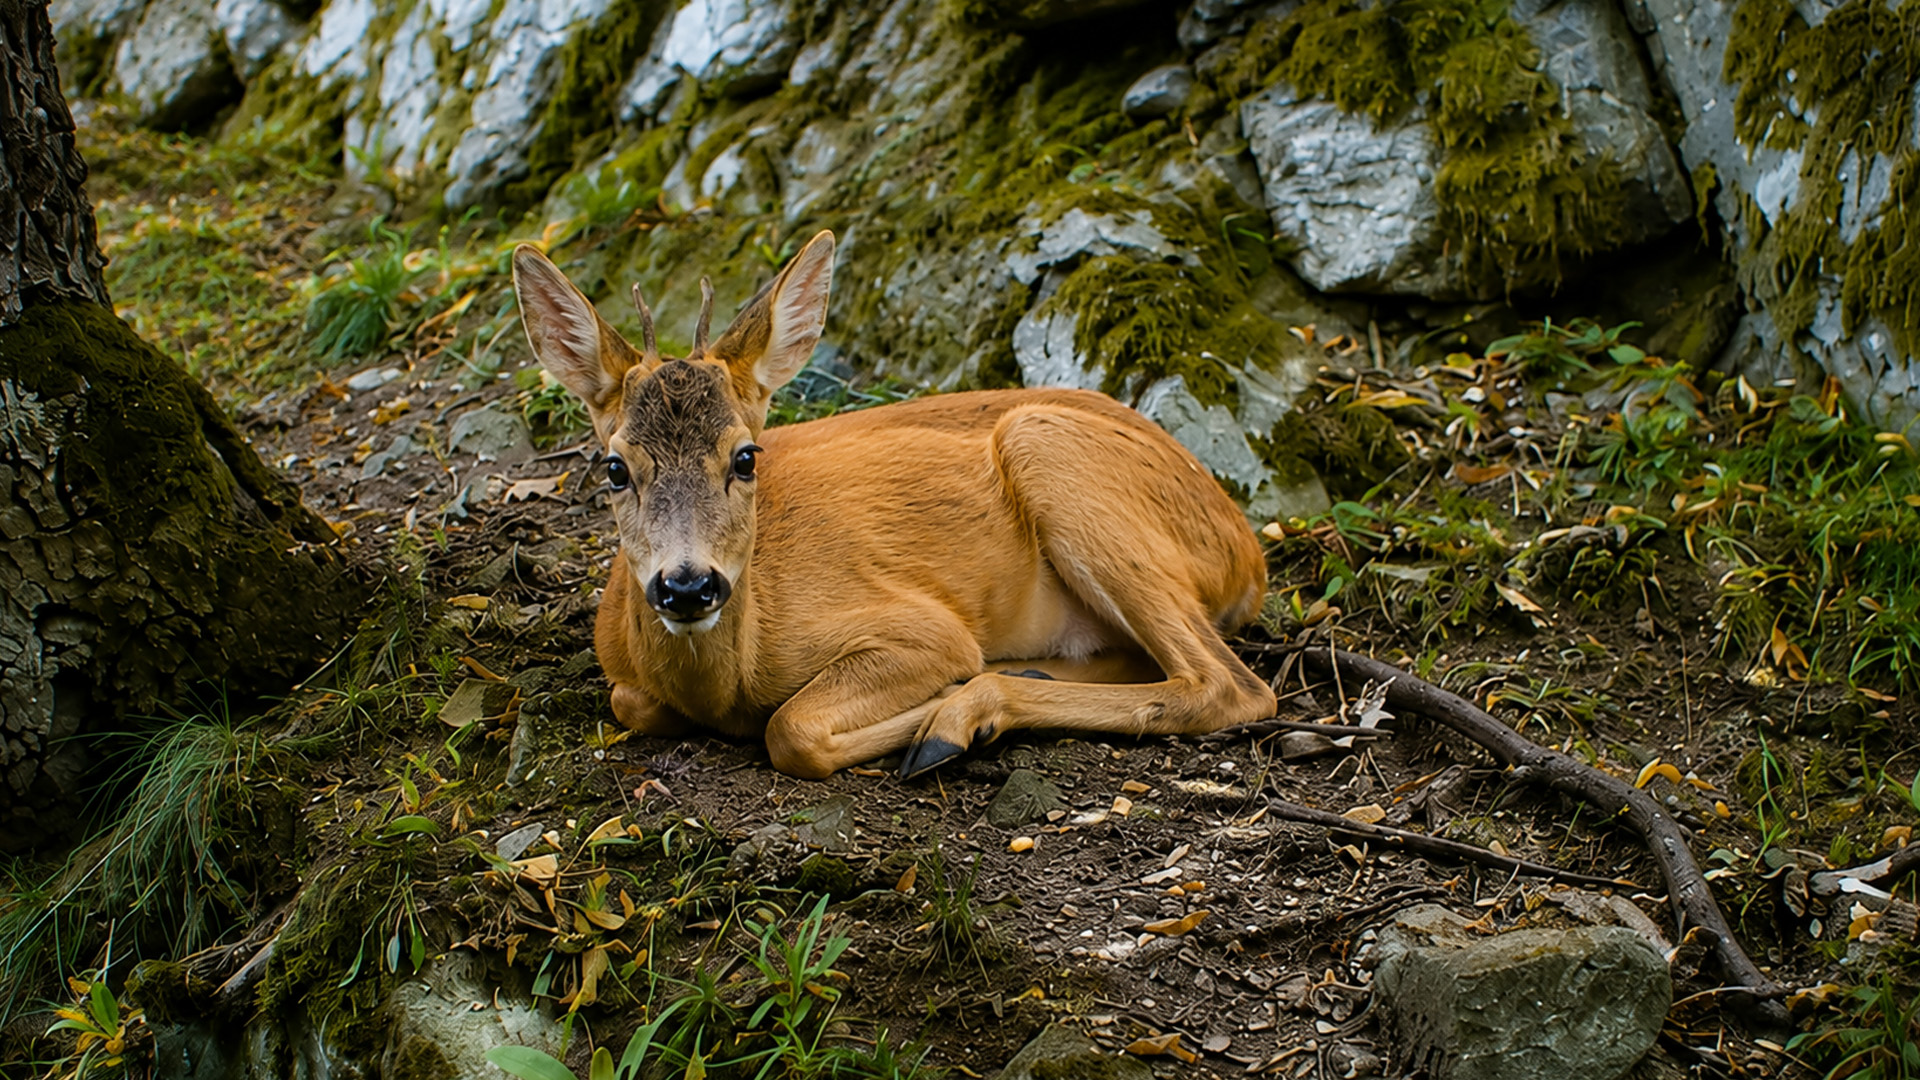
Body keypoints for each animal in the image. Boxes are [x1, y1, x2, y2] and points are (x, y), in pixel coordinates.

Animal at [510, 230, 1277, 779]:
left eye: (746, 456)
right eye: (615, 468)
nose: (689, 585)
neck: (729, 679)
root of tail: (1250, 556)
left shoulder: (923, 627)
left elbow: (790, 729)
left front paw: (938, 708)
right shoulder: (625, 675)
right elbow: (630, 700)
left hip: (1050, 450)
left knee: (1231, 685)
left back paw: (958, 719)